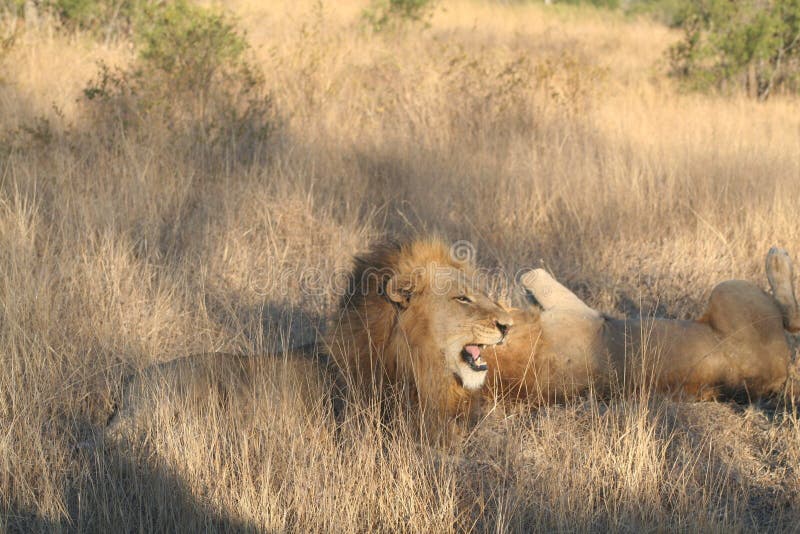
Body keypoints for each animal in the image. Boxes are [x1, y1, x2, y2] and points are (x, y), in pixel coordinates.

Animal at [484, 247, 800, 404]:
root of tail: (776, 378)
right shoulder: (577, 313)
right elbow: (536, 277)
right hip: (728, 291)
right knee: (792, 317)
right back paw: (778, 258)